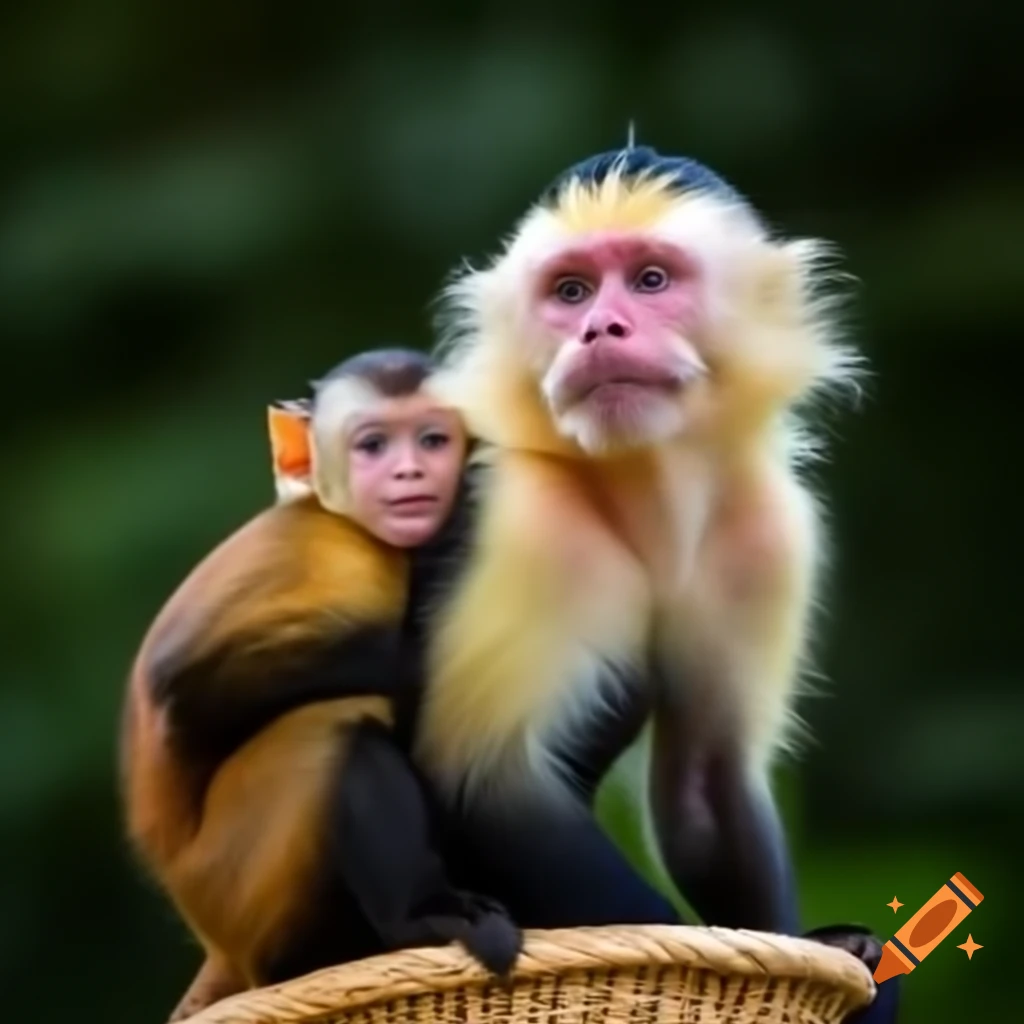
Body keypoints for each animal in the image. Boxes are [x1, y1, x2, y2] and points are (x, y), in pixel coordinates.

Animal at [119, 347, 522, 1022]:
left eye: (431, 439)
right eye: (373, 445)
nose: (410, 471)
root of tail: (217, 943)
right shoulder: (332, 555)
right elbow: (183, 687)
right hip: (234, 883)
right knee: (335, 725)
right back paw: (414, 919)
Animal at [400, 146, 898, 1023]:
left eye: (651, 280)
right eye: (571, 293)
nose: (602, 328)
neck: (639, 493)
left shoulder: (766, 528)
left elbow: (707, 778)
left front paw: (825, 954)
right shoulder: (522, 513)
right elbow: (489, 781)